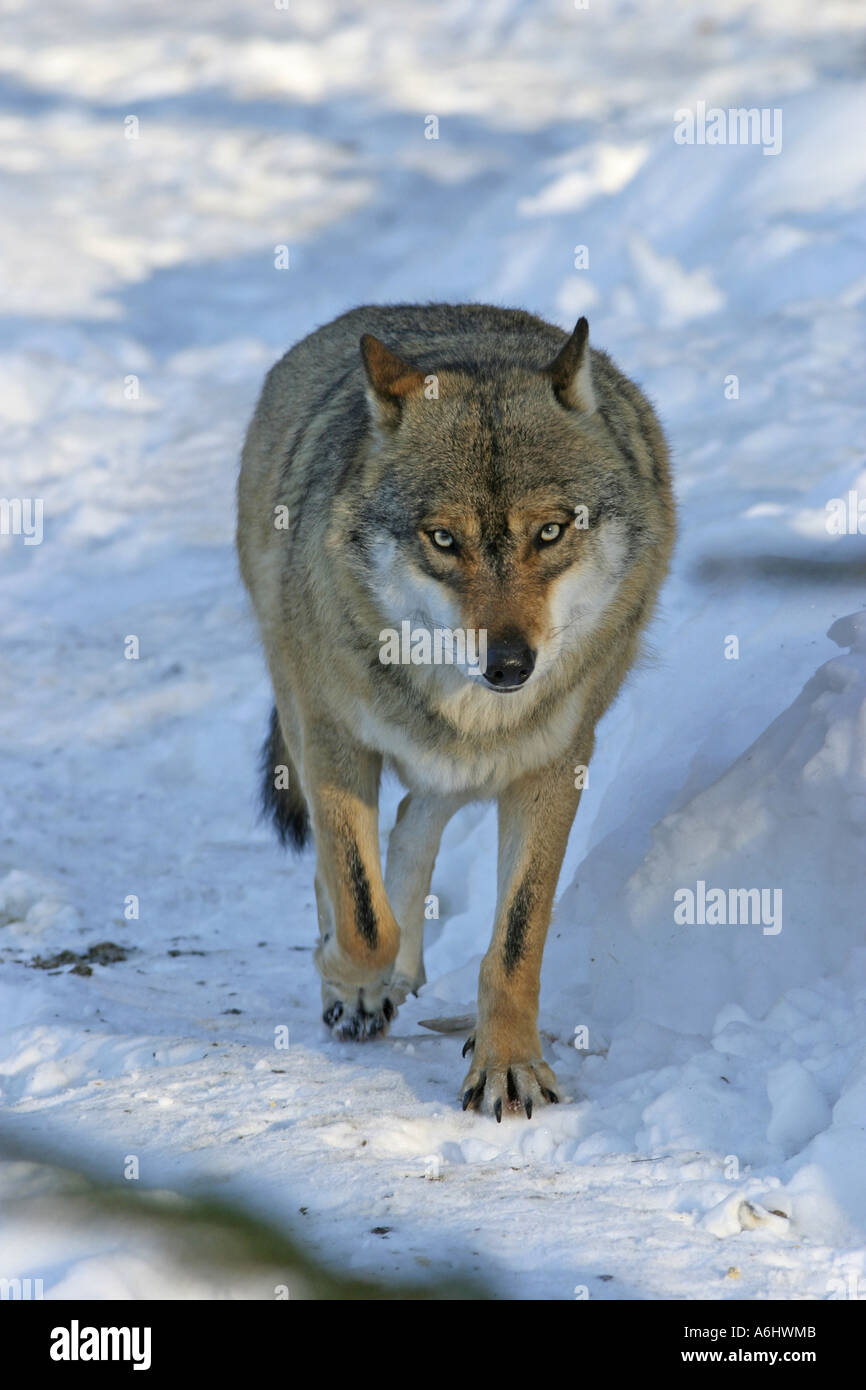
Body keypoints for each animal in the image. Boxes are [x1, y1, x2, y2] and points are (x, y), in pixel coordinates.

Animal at [237, 303, 675, 1119]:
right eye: (444, 539)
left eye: (550, 531)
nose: (509, 666)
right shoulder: (335, 737)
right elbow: (362, 914)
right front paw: (344, 977)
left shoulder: (554, 763)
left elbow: (515, 942)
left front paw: (511, 1067)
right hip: (299, 702)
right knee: (351, 863)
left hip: (470, 761)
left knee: (418, 815)